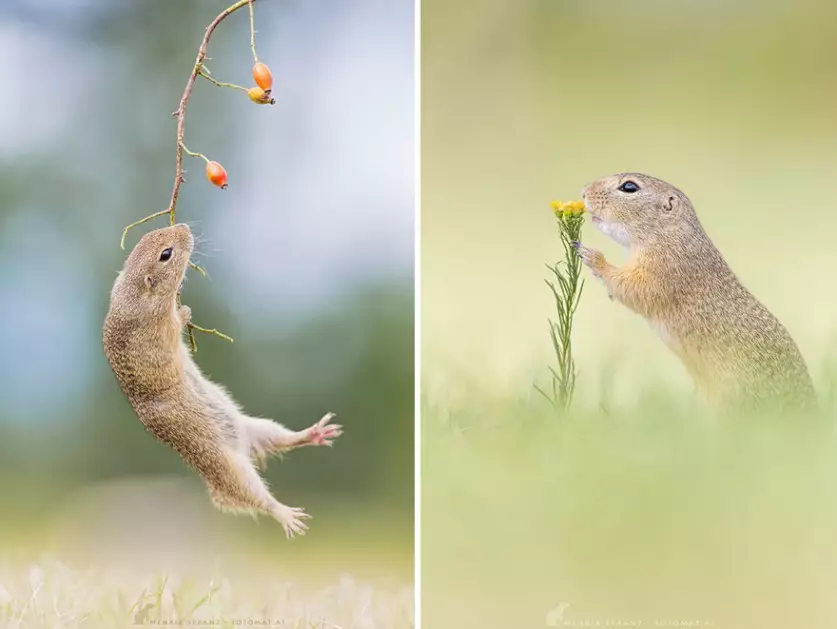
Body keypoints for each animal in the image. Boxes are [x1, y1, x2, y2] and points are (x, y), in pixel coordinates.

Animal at [103, 223, 340, 536]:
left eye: (148, 235)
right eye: (166, 254)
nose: (183, 226)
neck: (131, 293)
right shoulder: (157, 326)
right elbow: (175, 324)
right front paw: (184, 309)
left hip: (258, 428)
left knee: (283, 439)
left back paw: (313, 433)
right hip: (227, 467)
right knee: (256, 497)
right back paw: (285, 514)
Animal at [576, 172, 816, 412]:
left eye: (629, 187)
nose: (584, 191)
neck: (668, 234)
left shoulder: (666, 268)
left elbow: (637, 289)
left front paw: (593, 258)